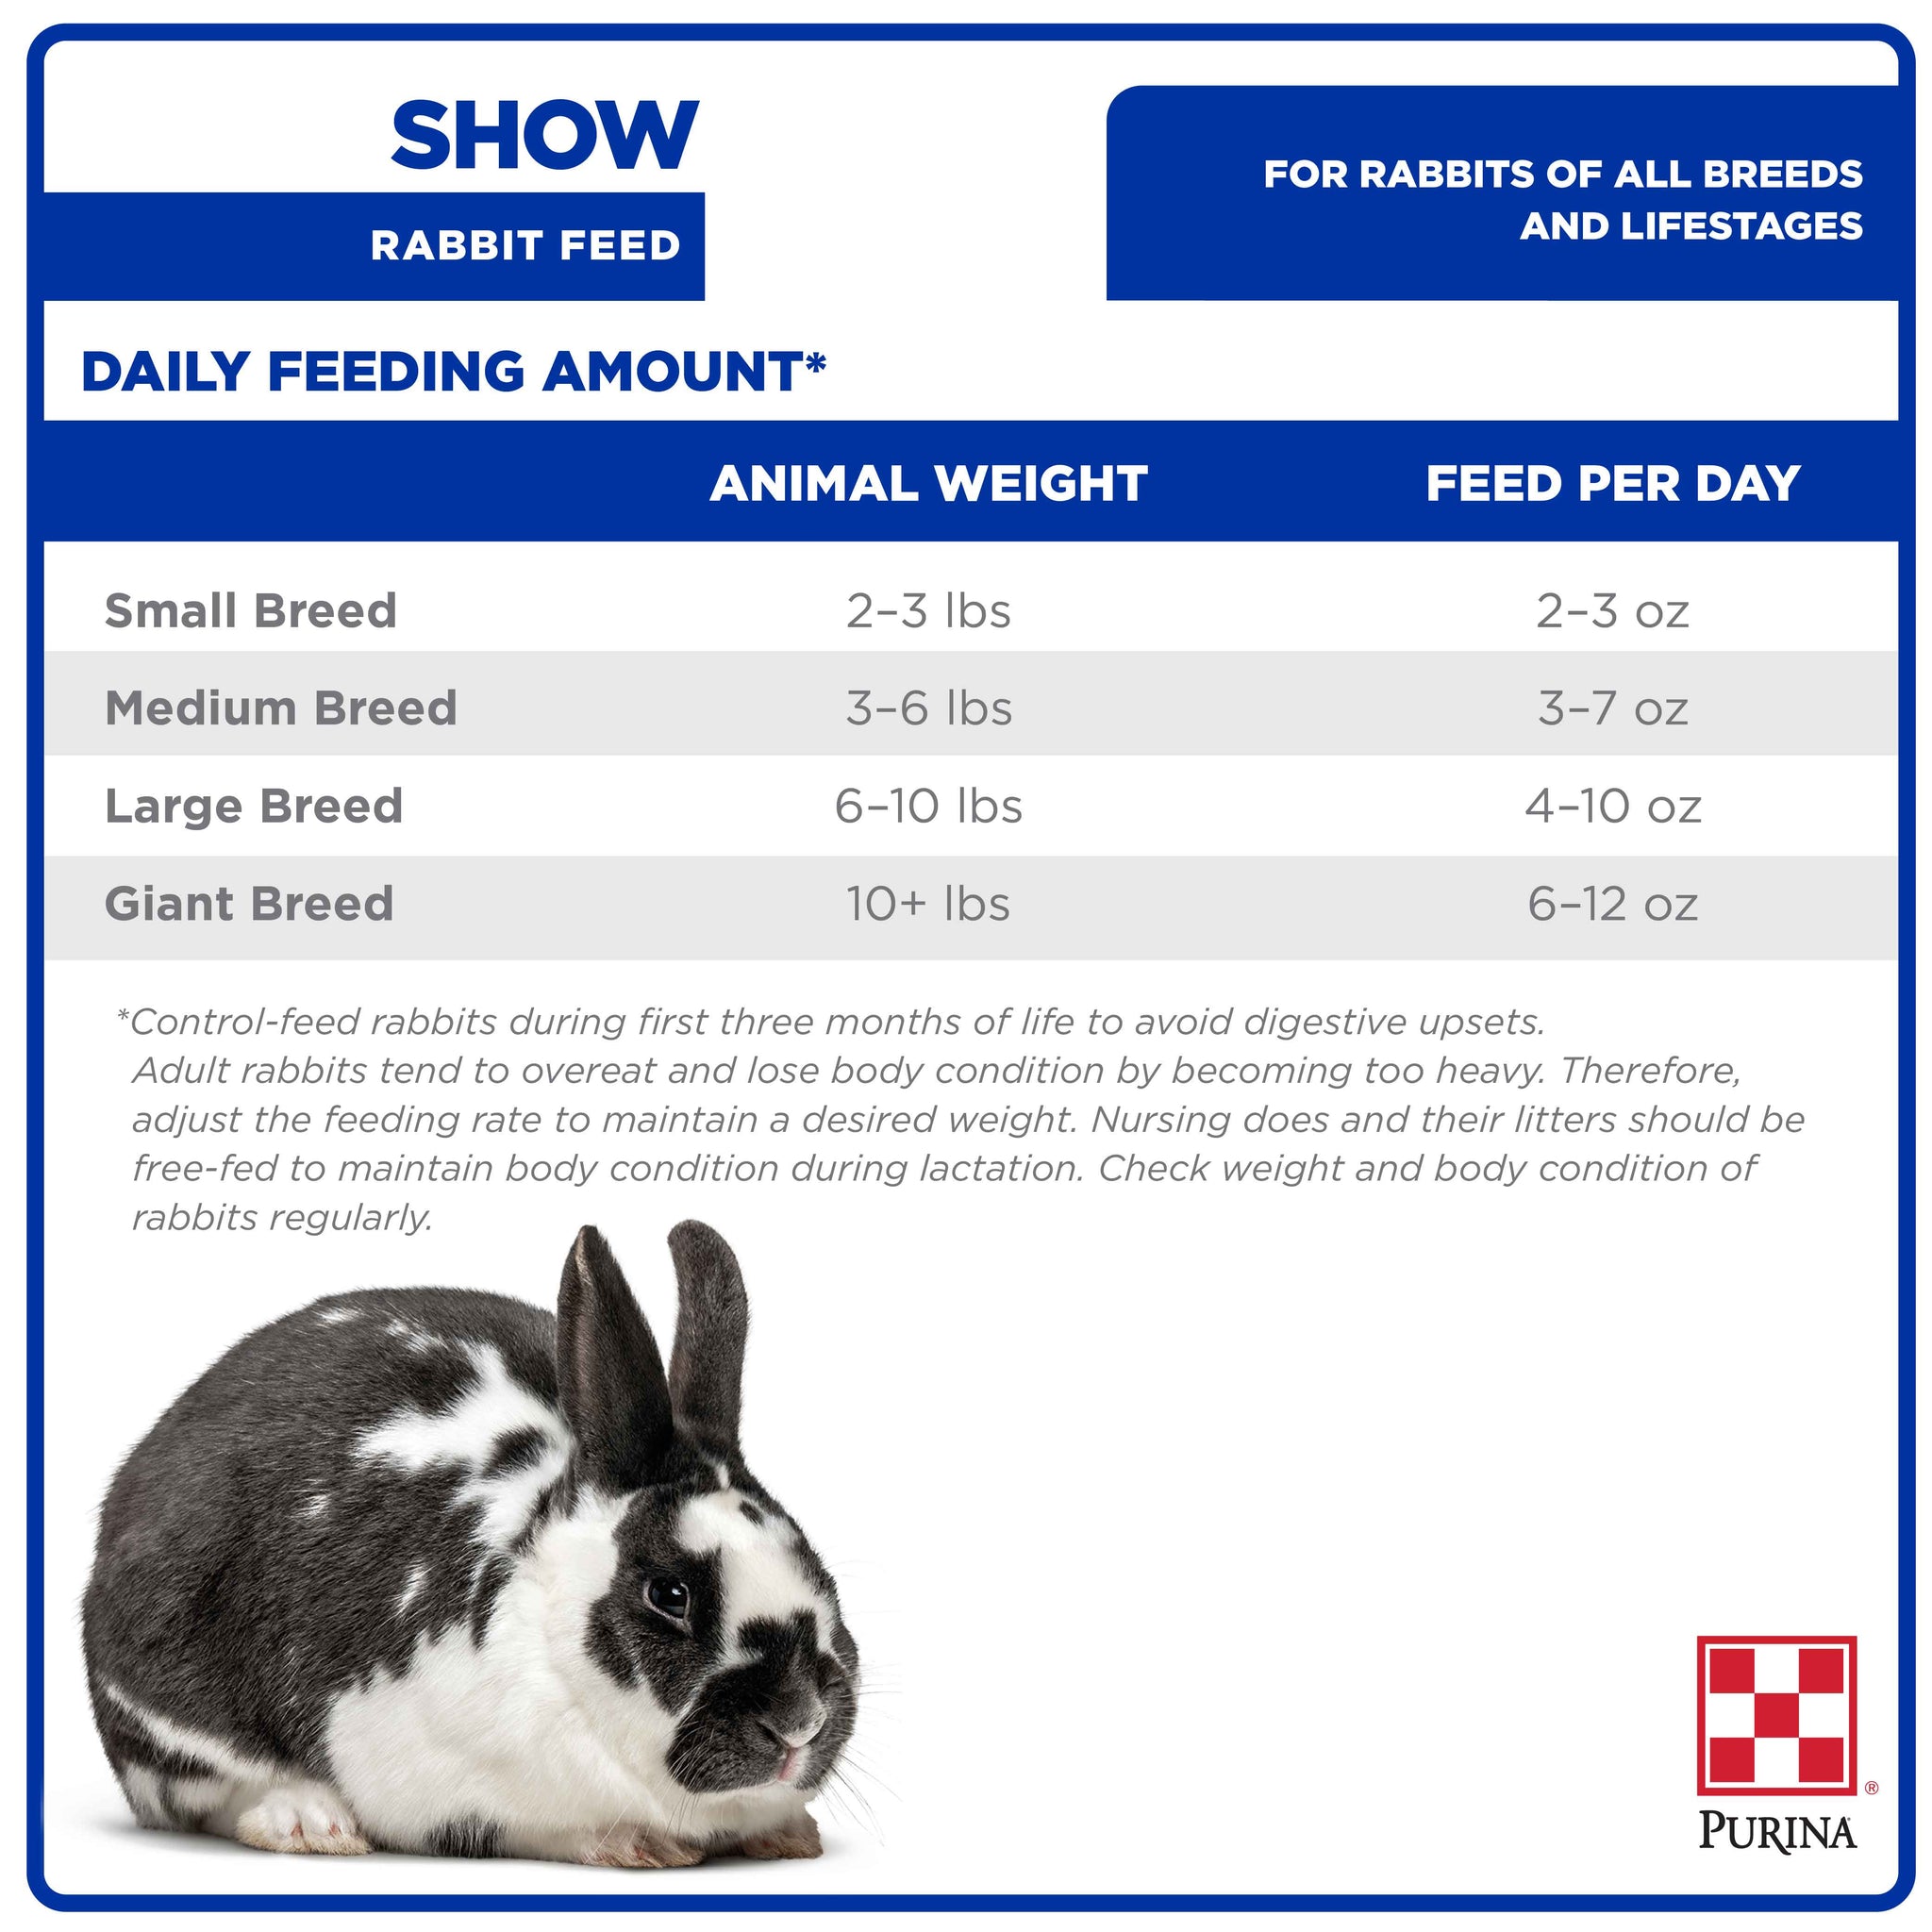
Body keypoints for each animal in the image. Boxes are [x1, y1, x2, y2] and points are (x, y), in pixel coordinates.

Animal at [82, 1220, 859, 1867]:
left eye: (820, 1571)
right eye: (670, 1594)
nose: (799, 1722)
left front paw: (789, 1835)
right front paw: (640, 1845)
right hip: (168, 1704)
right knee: (211, 1795)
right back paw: (312, 1823)